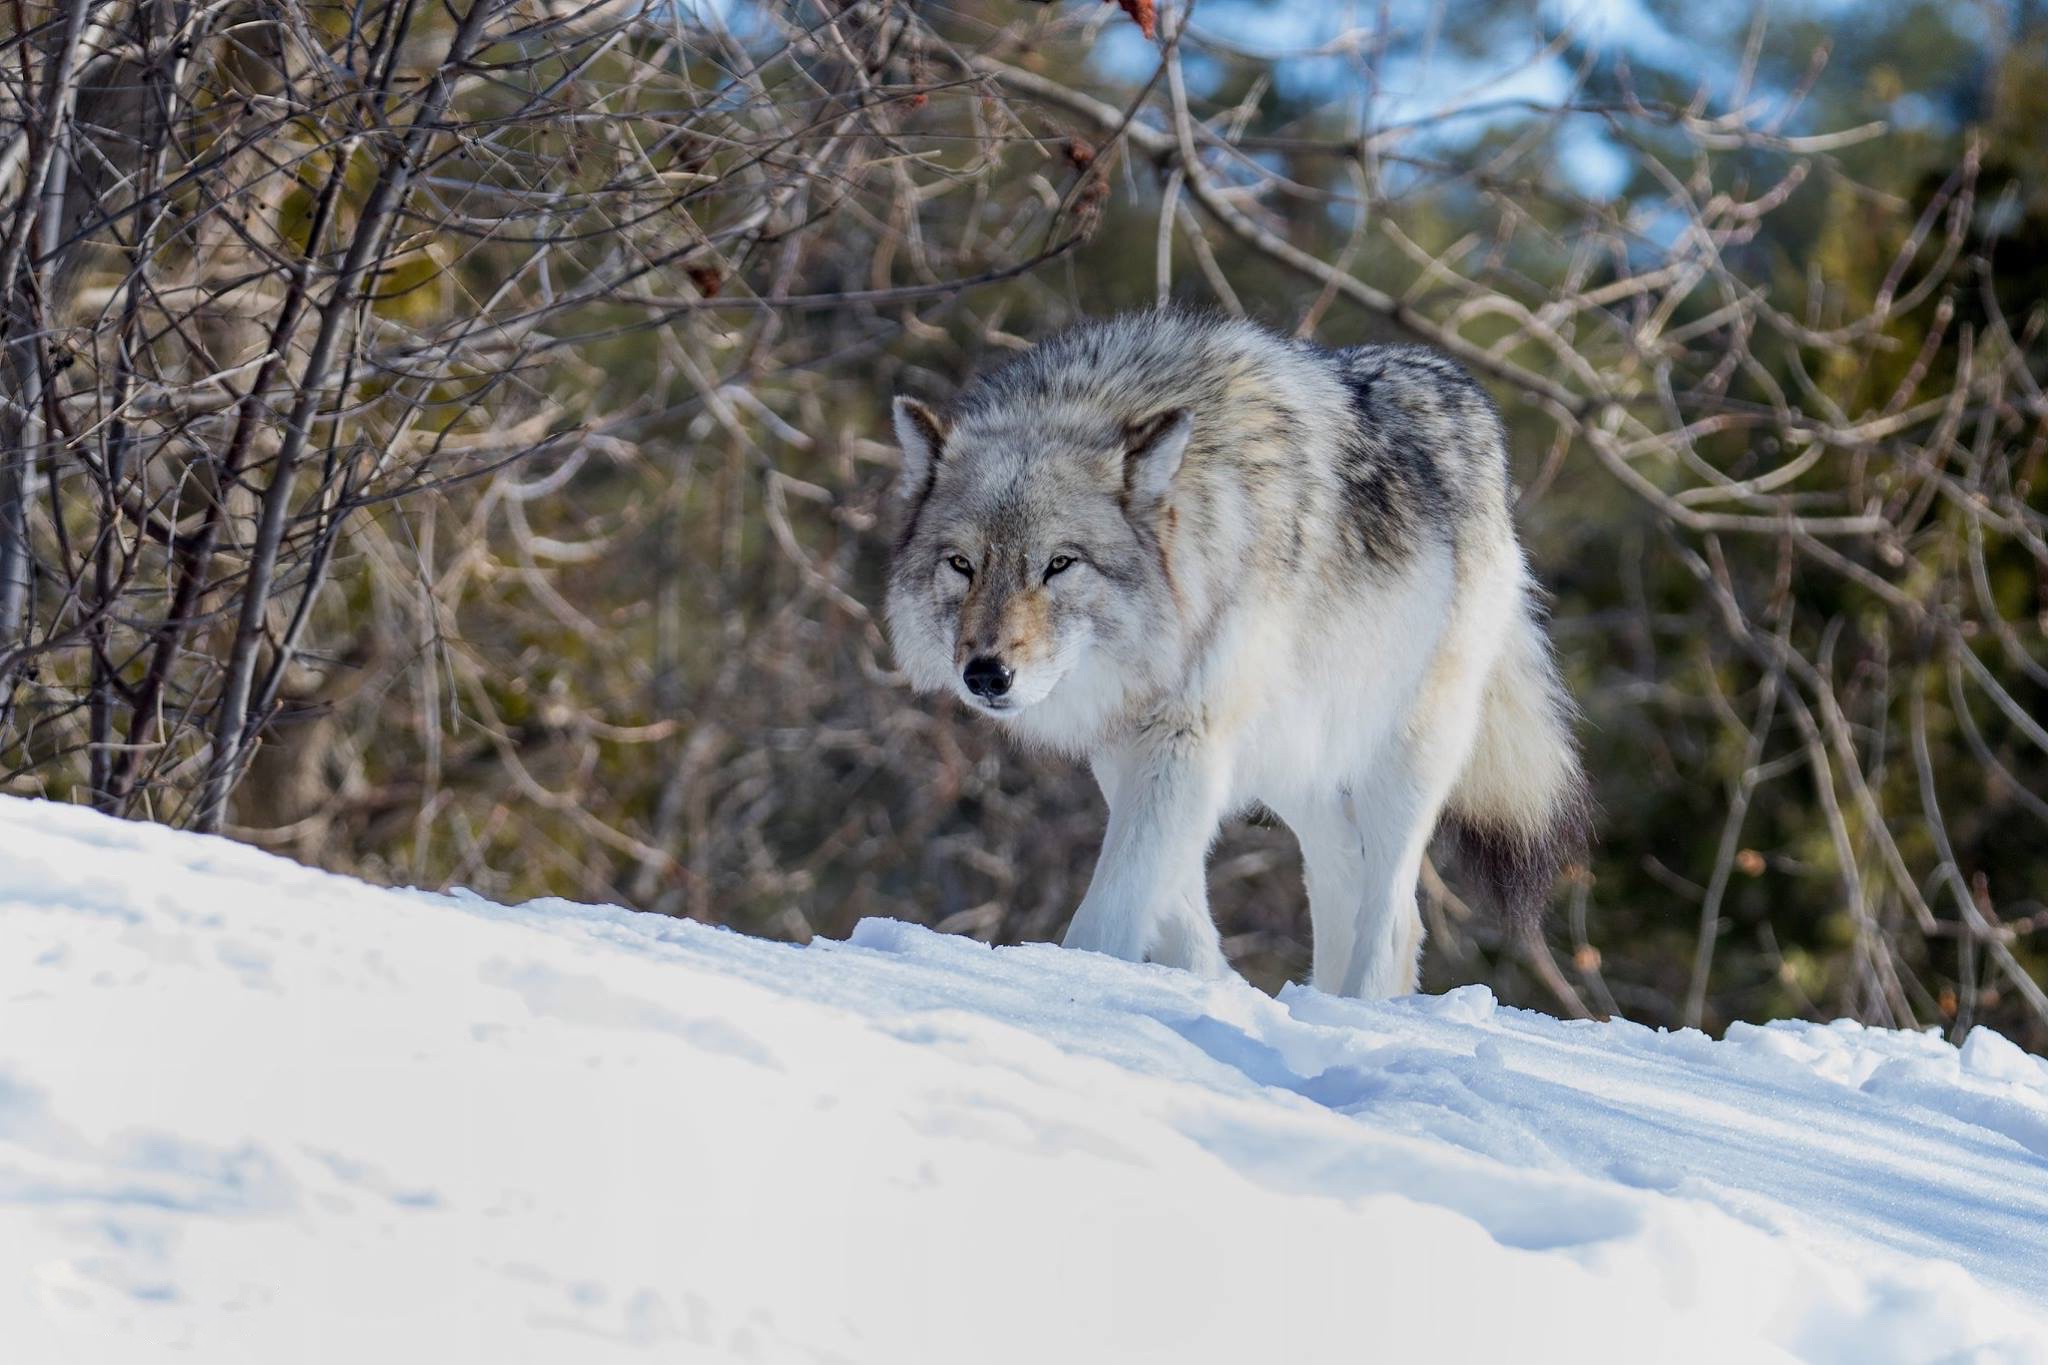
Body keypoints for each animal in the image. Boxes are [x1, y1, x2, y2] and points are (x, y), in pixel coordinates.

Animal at [884, 311, 1588, 998]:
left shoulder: (1184, 737)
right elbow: (1167, 897)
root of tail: (1465, 389)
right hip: (1294, 758)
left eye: (1059, 564)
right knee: (1346, 885)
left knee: (1393, 917)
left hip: (1407, 751)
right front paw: (1210, 984)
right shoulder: (1129, 746)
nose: (986, 676)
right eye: (962, 565)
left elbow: (1112, 908)